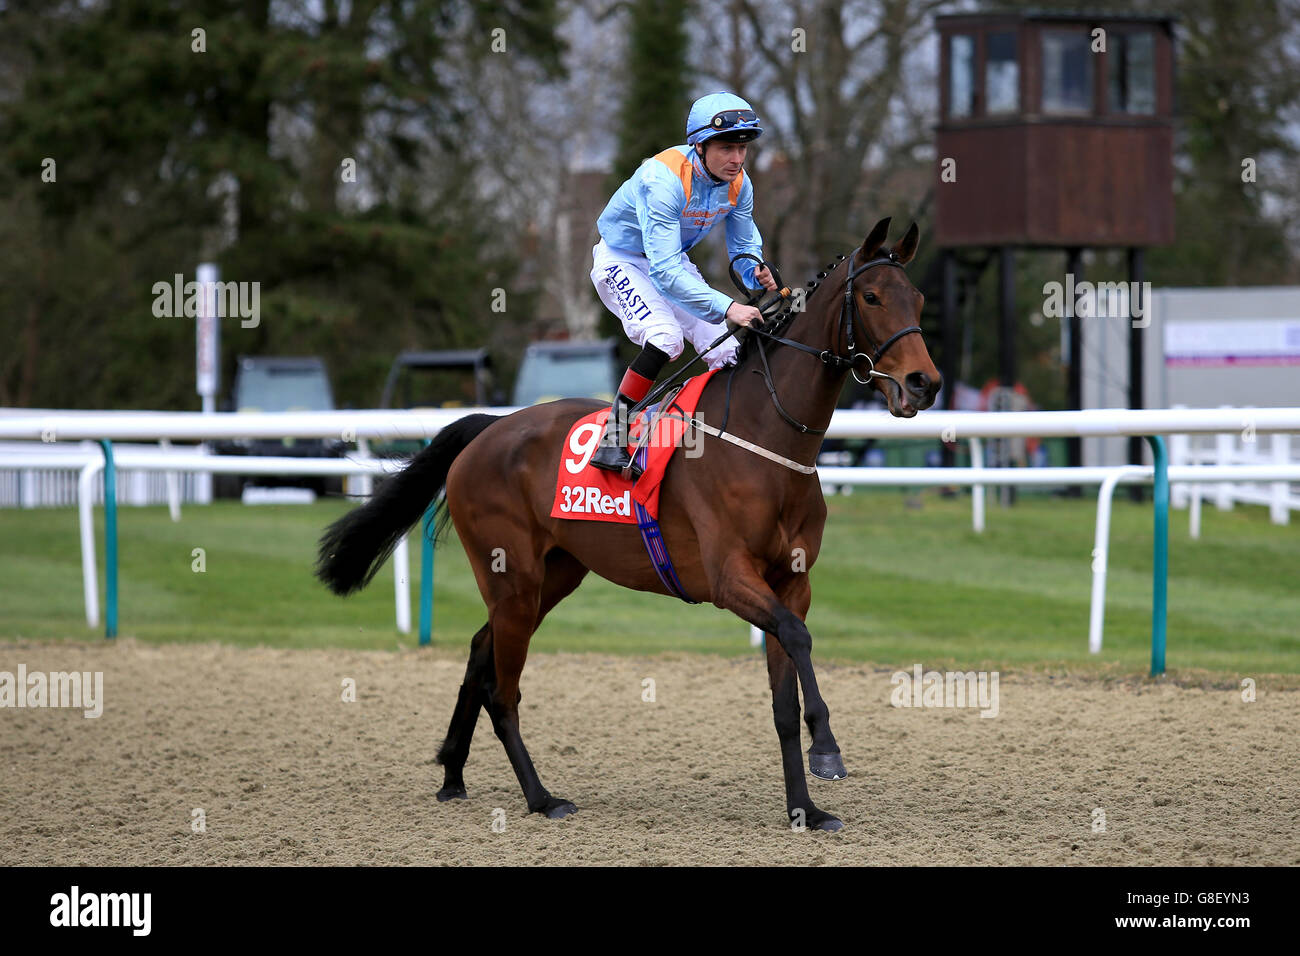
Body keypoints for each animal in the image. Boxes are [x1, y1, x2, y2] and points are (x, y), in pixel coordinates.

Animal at [315, 217, 940, 831]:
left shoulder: (792, 582)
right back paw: (541, 797)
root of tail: (488, 427)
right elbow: (798, 636)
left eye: (918, 298)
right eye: (872, 296)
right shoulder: (730, 579)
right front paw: (827, 750)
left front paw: (804, 808)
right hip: (512, 577)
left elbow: (784, 691)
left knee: (479, 649)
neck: (765, 440)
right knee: (503, 689)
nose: (924, 383)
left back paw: (452, 773)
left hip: (551, 576)